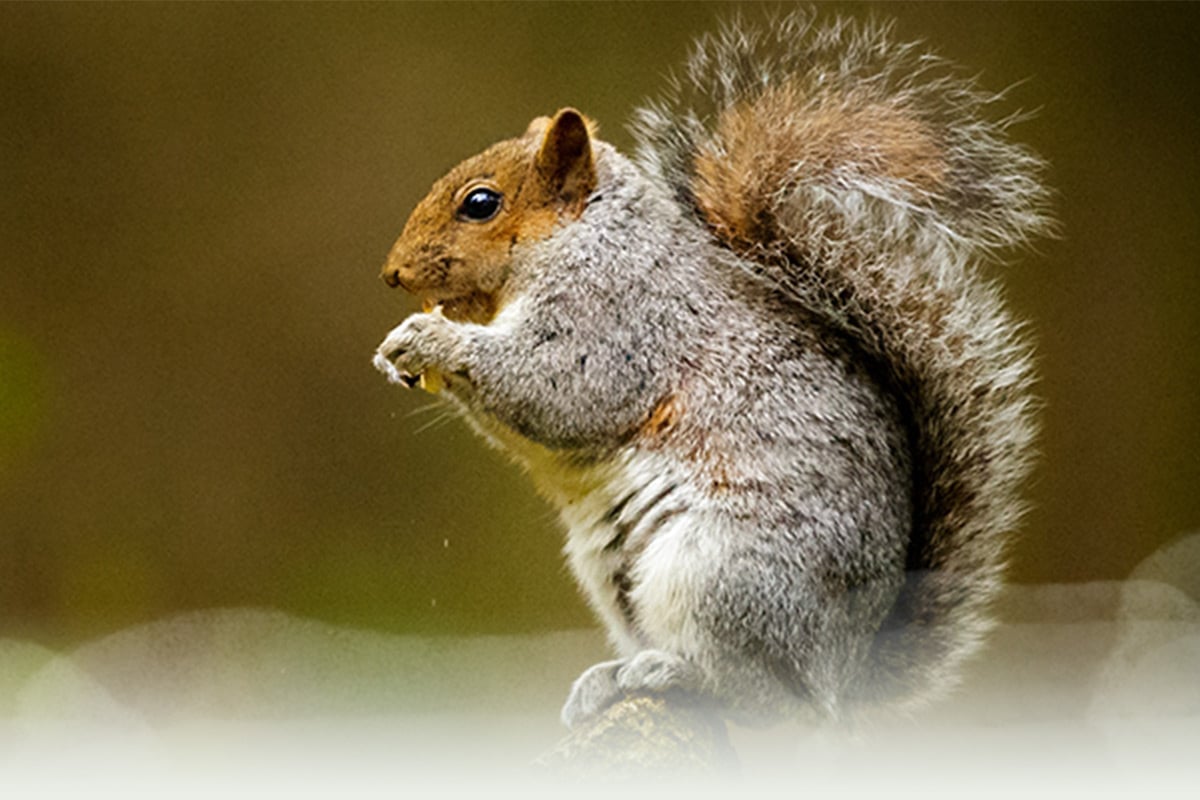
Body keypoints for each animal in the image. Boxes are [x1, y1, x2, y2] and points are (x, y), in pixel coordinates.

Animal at [372, 12, 1051, 727]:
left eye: (480, 203)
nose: (393, 273)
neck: (586, 236)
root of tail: (848, 669)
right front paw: (397, 351)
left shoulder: (618, 321)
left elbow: (557, 390)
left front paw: (430, 338)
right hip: (618, 577)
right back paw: (610, 678)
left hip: (719, 572)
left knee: (774, 702)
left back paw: (675, 671)